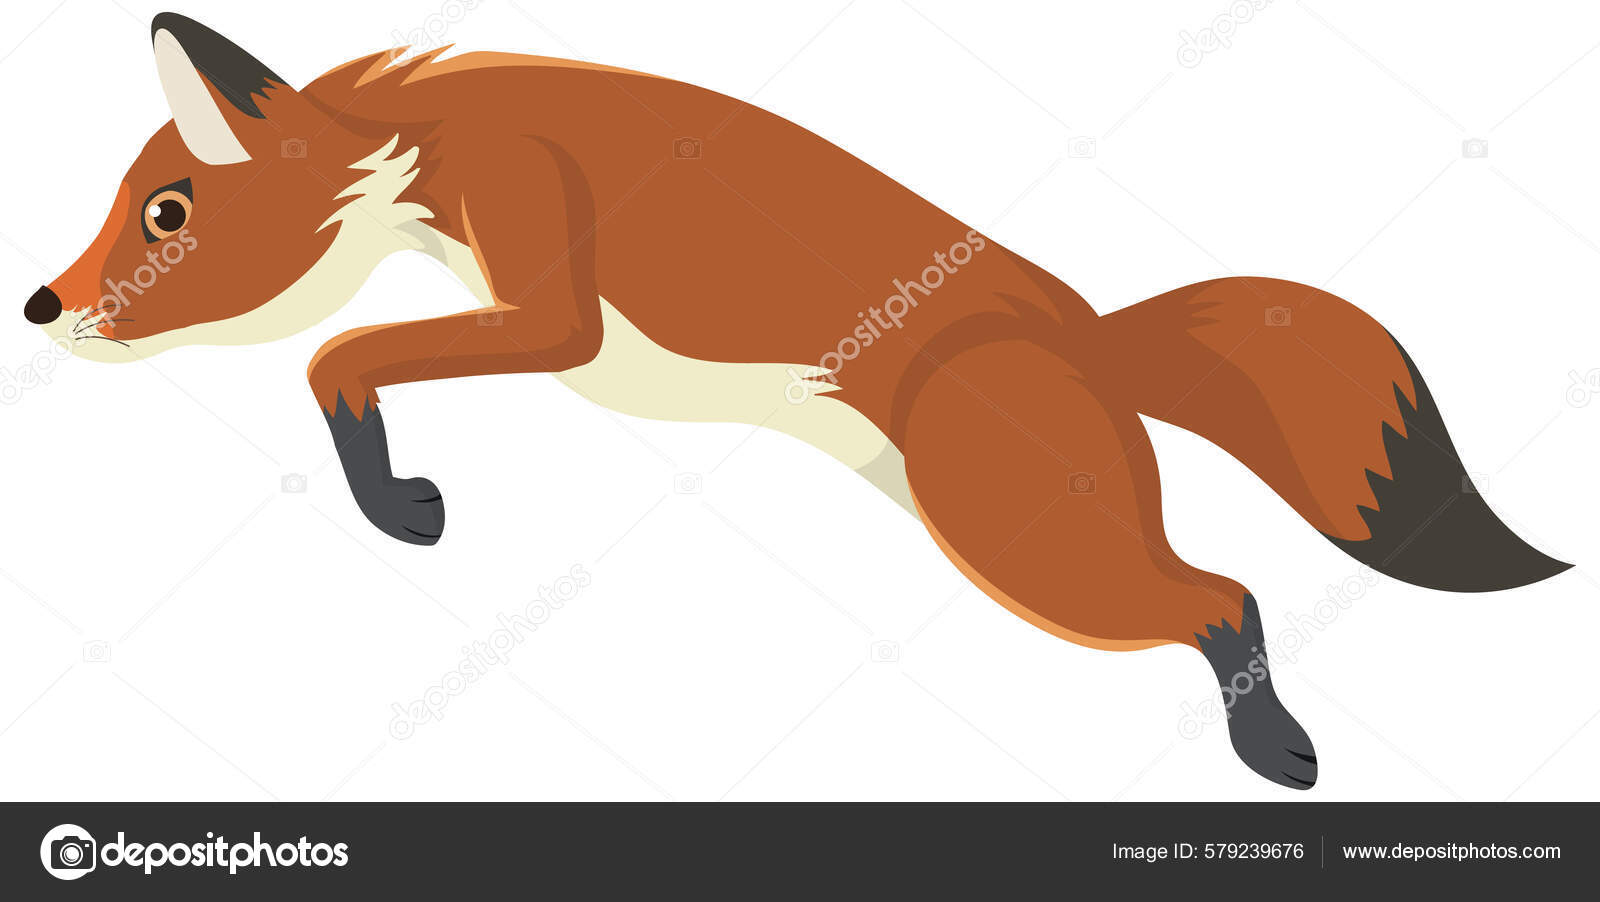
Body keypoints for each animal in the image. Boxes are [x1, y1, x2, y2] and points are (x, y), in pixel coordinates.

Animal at [25, 13, 1570, 790]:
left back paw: (1276, 748)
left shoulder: (544, 295)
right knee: (1218, 589)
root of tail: (1085, 325)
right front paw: (392, 487)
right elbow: (340, 361)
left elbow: (334, 360)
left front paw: (396, 500)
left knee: (1225, 595)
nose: (40, 307)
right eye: (128, 202)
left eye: (165, 213)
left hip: (1014, 539)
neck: (439, 142)